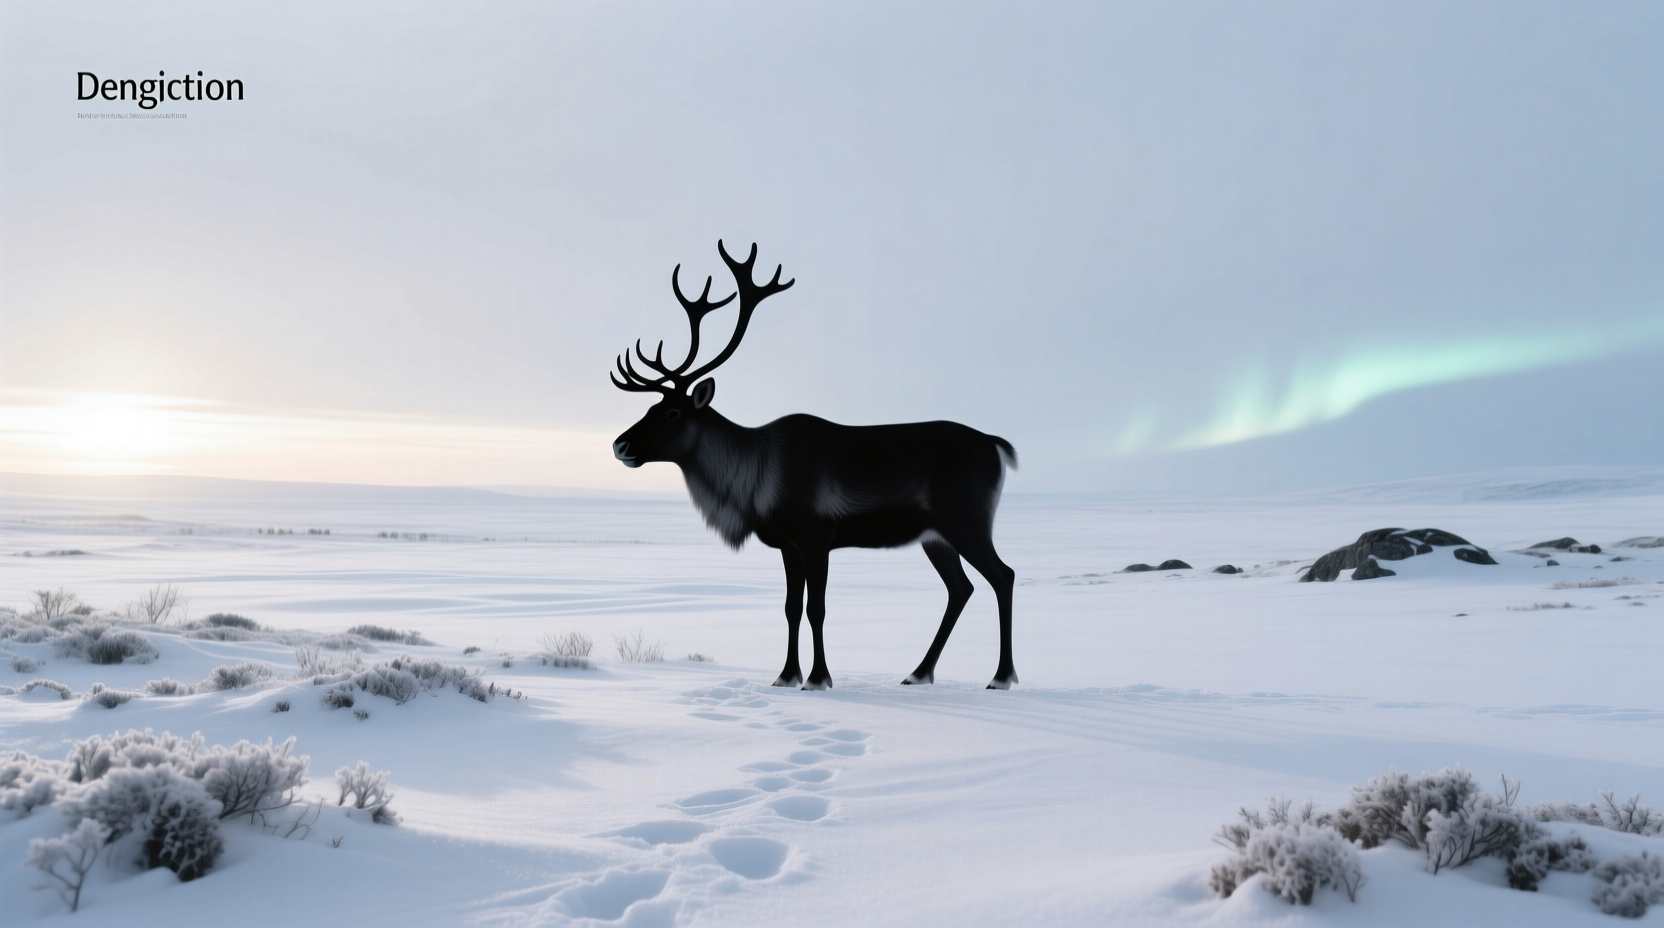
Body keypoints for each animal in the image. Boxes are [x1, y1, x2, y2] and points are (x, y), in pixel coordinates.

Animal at [611, 242, 1018, 691]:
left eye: (672, 413)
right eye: (651, 407)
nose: (619, 444)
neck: (751, 483)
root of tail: (997, 445)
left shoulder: (816, 536)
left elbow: (816, 608)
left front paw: (818, 678)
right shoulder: (788, 544)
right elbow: (791, 607)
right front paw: (786, 676)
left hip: (966, 521)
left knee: (1003, 576)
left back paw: (1001, 677)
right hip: (936, 536)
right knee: (961, 588)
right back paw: (918, 672)